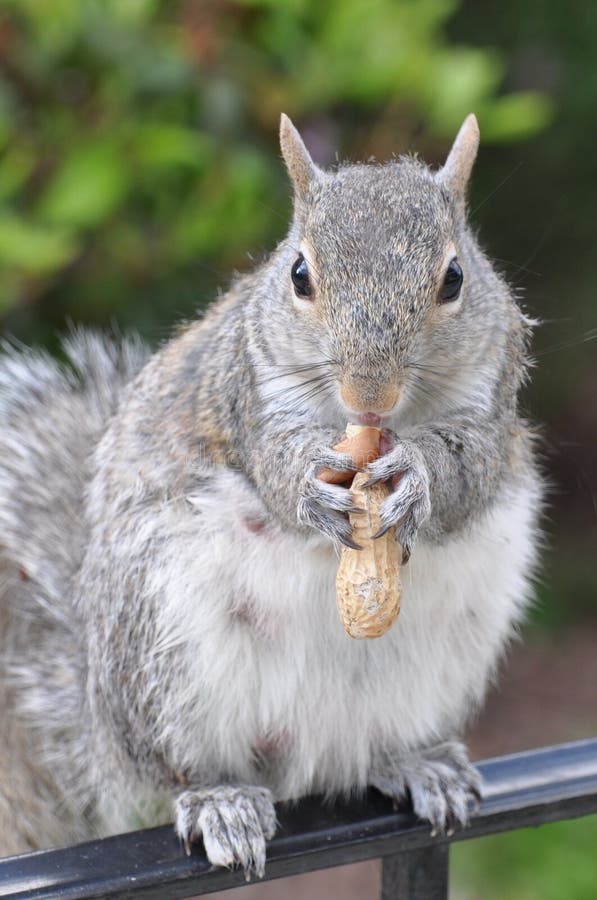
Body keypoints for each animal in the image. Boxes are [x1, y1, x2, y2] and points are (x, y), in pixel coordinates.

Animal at [0, 114, 541, 876]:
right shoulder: (243, 397)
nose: (368, 392)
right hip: (162, 646)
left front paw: (418, 478)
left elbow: (470, 469)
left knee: (371, 751)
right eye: (299, 274)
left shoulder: (493, 405)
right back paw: (219, 800)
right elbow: (272, 463)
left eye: (455, 277)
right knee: (178, 766)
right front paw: (311, 488)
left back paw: (415, 762)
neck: (380, 428)